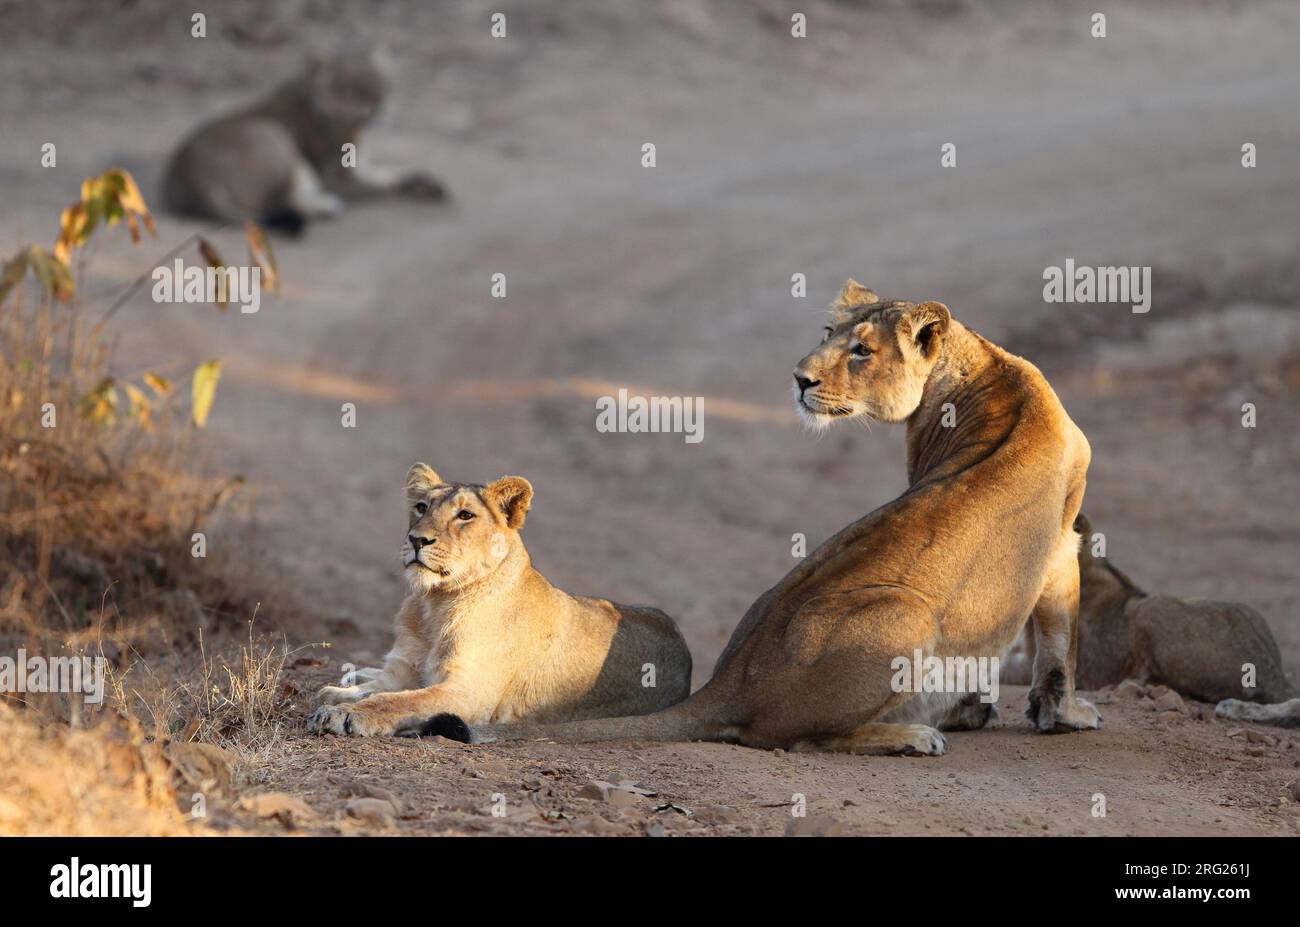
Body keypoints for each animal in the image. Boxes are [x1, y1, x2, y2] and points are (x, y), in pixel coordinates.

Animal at [162, 48, 446, 234]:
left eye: (380, 83)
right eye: (351, 89)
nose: (379, 106)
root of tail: (188, 182)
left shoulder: (363, 166)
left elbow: (393, 174)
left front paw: (429, 183)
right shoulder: (337, 178)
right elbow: (382, 188)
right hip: (272, 133)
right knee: (275, 203)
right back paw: (326, 206)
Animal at [306, 464, 691, 737]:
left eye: (464, 516)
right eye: (420, 507)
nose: (417, 540)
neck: (435, 604)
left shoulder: (469, 691)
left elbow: (403, 700)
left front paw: (345, 714)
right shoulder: (405, 667)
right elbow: (381, 686)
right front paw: (341, 694)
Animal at [421, 280, 1099, 755]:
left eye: (861, 349)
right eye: (827, 331)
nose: (799, 379)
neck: (983, 367)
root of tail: (729, 681)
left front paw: (981, 707)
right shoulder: (1061, 540)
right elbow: (1058, 638)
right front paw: (1060, 714)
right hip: (906, 614)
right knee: (794, 739)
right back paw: (909, 736)